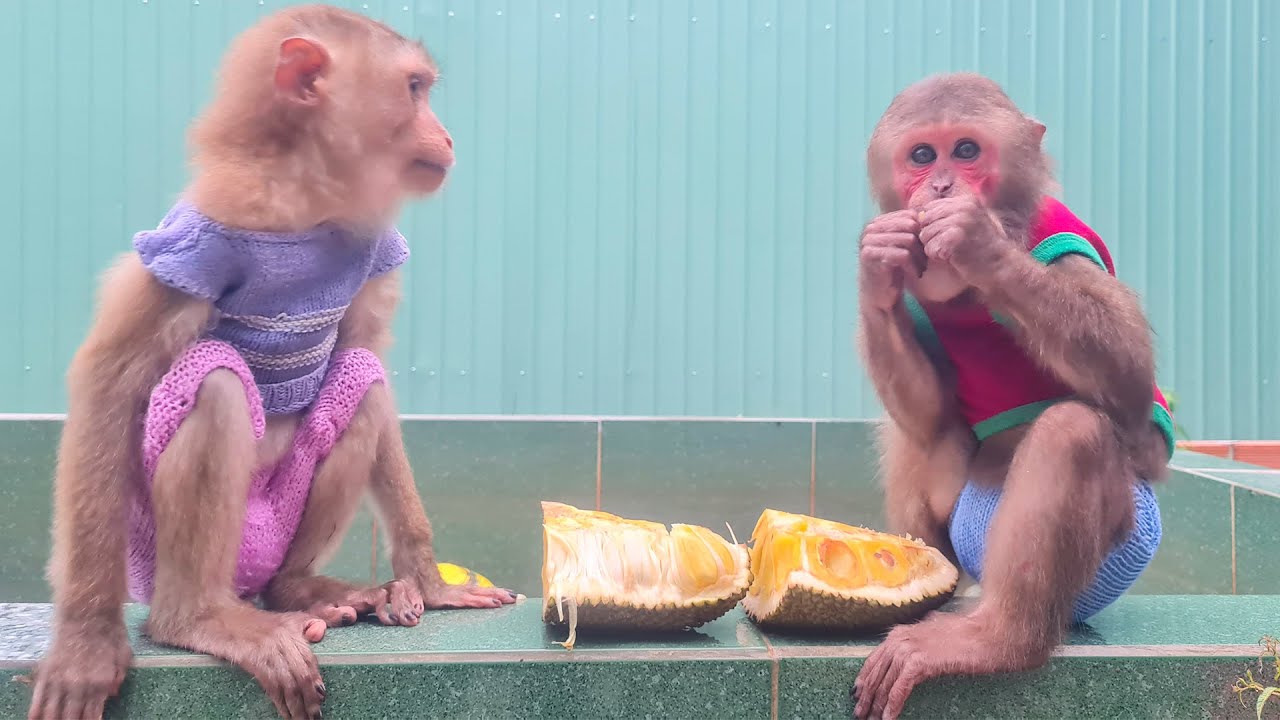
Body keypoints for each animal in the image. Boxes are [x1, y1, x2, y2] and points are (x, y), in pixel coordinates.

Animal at [25, 7, 517, 720]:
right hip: (153, 547)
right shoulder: (197, 237)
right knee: (214, 382)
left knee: (360, 381)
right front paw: (86, 642)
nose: (446, 134)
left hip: (277, 536)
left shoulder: (377, 246)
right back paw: (194, 618)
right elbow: (109, 382)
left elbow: (364, 352)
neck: (306, 197)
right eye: (414, 89)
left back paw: (302, 590)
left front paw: (428, 578)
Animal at [850, 73, 1173, 720]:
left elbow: (1131, 393)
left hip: (1117, 560)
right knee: (920, 433)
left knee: (1074, 432)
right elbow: (930, 409)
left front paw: (981, 243)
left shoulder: (1065, 243)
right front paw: (877, 266)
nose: (941, 186)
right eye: (922, 156)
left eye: (966, 151)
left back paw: (1000, 640)